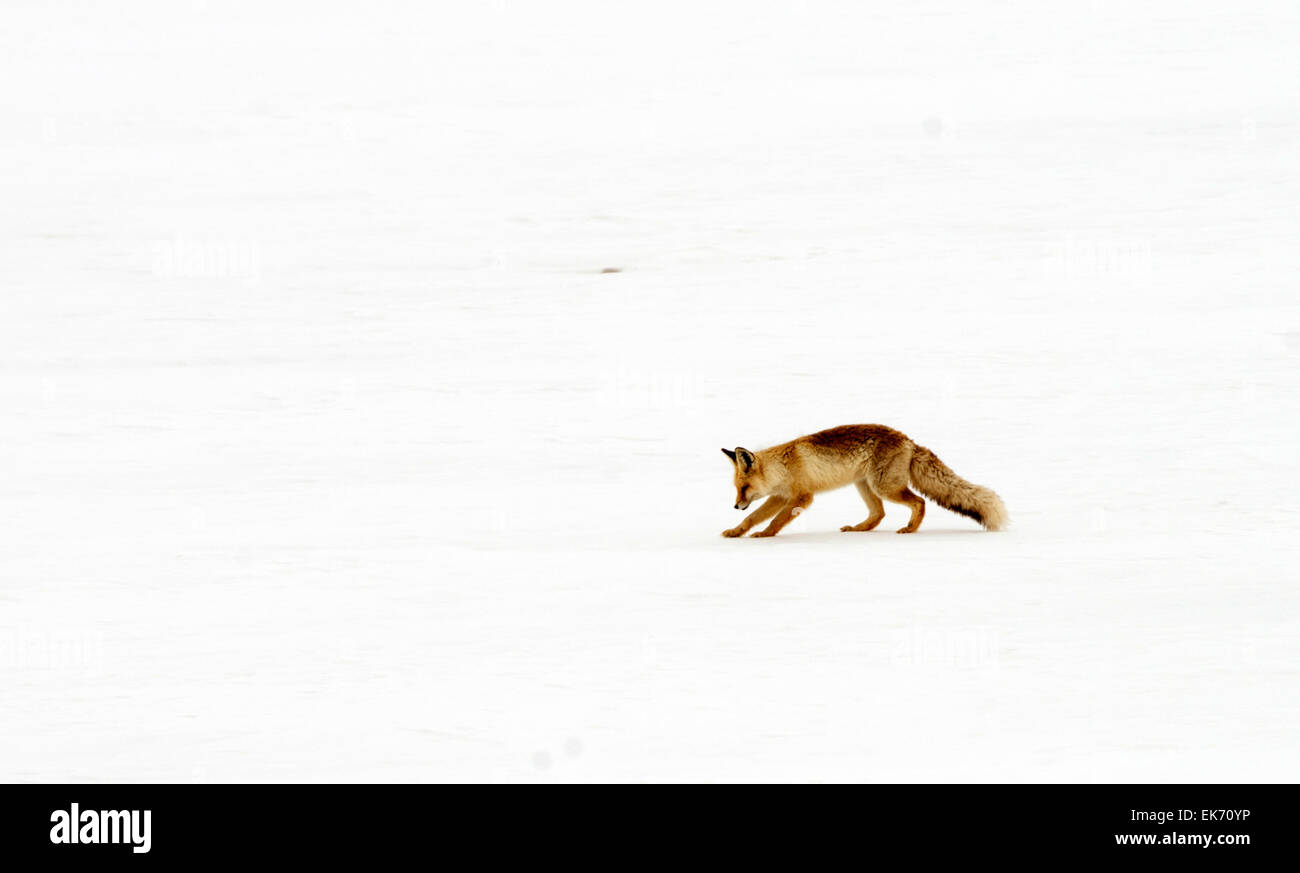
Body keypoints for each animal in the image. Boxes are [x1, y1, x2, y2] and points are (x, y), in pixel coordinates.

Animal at [720, 424, 1007, 538]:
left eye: (743, 488)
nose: (734, 506)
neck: (784, 467)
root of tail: (909, 440)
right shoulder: (780, 496)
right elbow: (752, 517)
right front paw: (736, 531)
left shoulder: (801, 496)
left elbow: (776, 521)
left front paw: (765, 535)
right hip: (864, 486)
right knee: (878, 514)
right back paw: (859, 529)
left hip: (884, 487)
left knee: (920, 502)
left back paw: (911, 529)